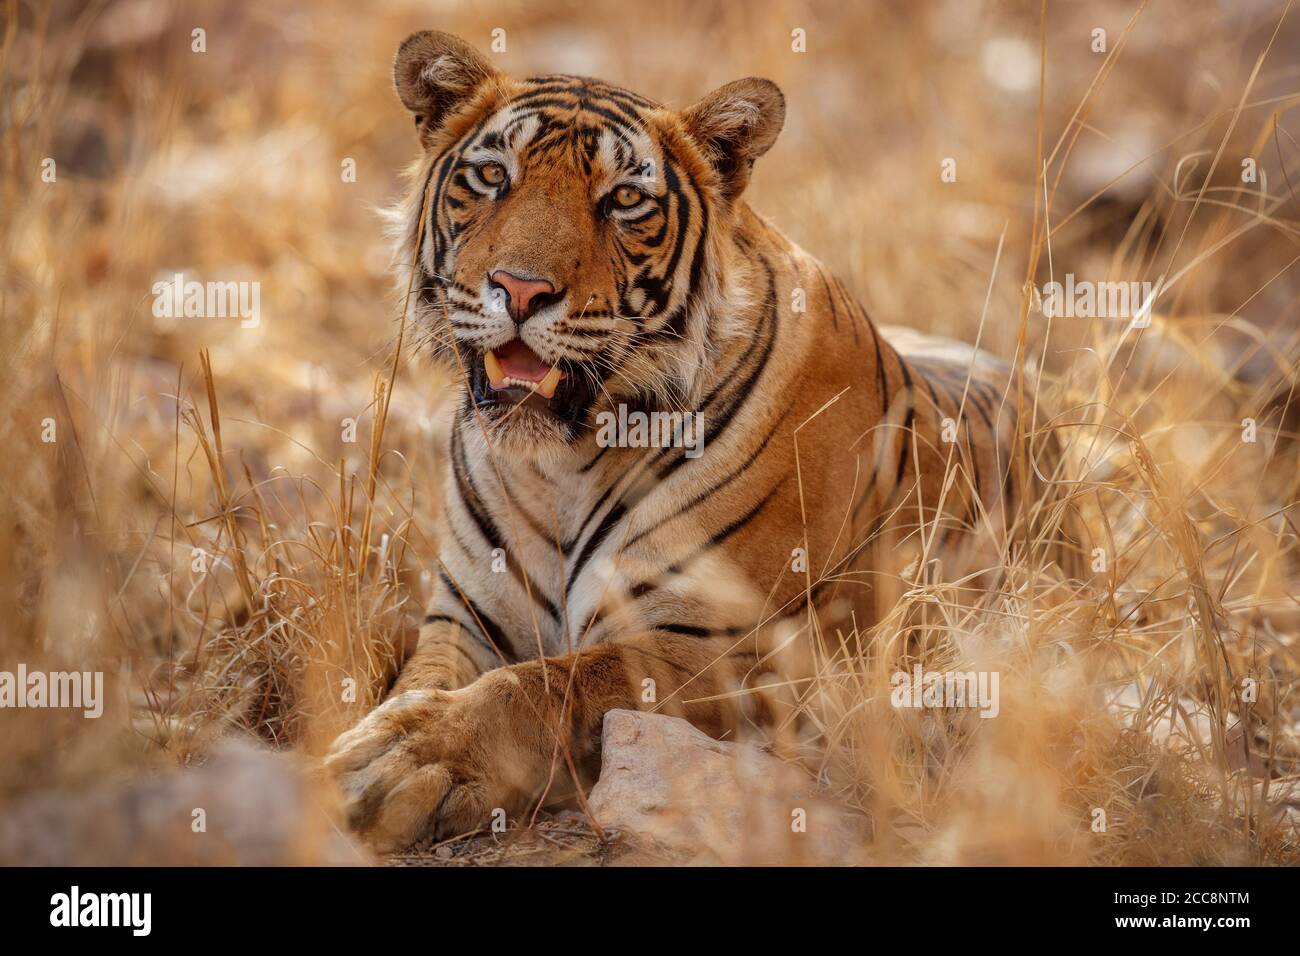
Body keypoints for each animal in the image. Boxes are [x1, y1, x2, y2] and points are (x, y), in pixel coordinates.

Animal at [326, 30, 1050, 852]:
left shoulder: (727, 650)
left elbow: (542, 684)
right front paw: (386, 736)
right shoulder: (464, 615)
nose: (520, 289)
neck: (557, 464)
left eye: (625, 200)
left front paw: (398, 763)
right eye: (490, 176)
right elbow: (424, 682)